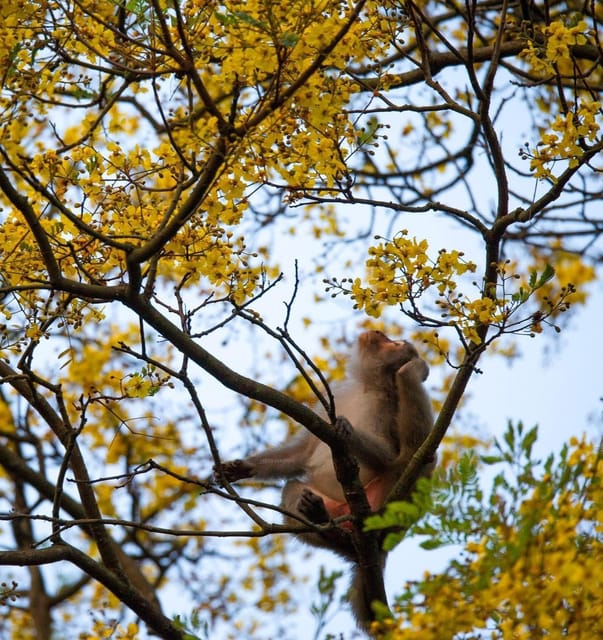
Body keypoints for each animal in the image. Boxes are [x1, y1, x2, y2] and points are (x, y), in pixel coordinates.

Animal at [214, 330, 435, 633]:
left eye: (394, 343)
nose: (380, 333)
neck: (367, 387)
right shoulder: (335, 398)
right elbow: (302, 454)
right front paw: (243, 467)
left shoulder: (388, 405)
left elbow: (392, 458)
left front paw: (346, 429)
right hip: (337, 510)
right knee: (295, 489)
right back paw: (329, 528)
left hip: (389, 503)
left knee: (418, 458)